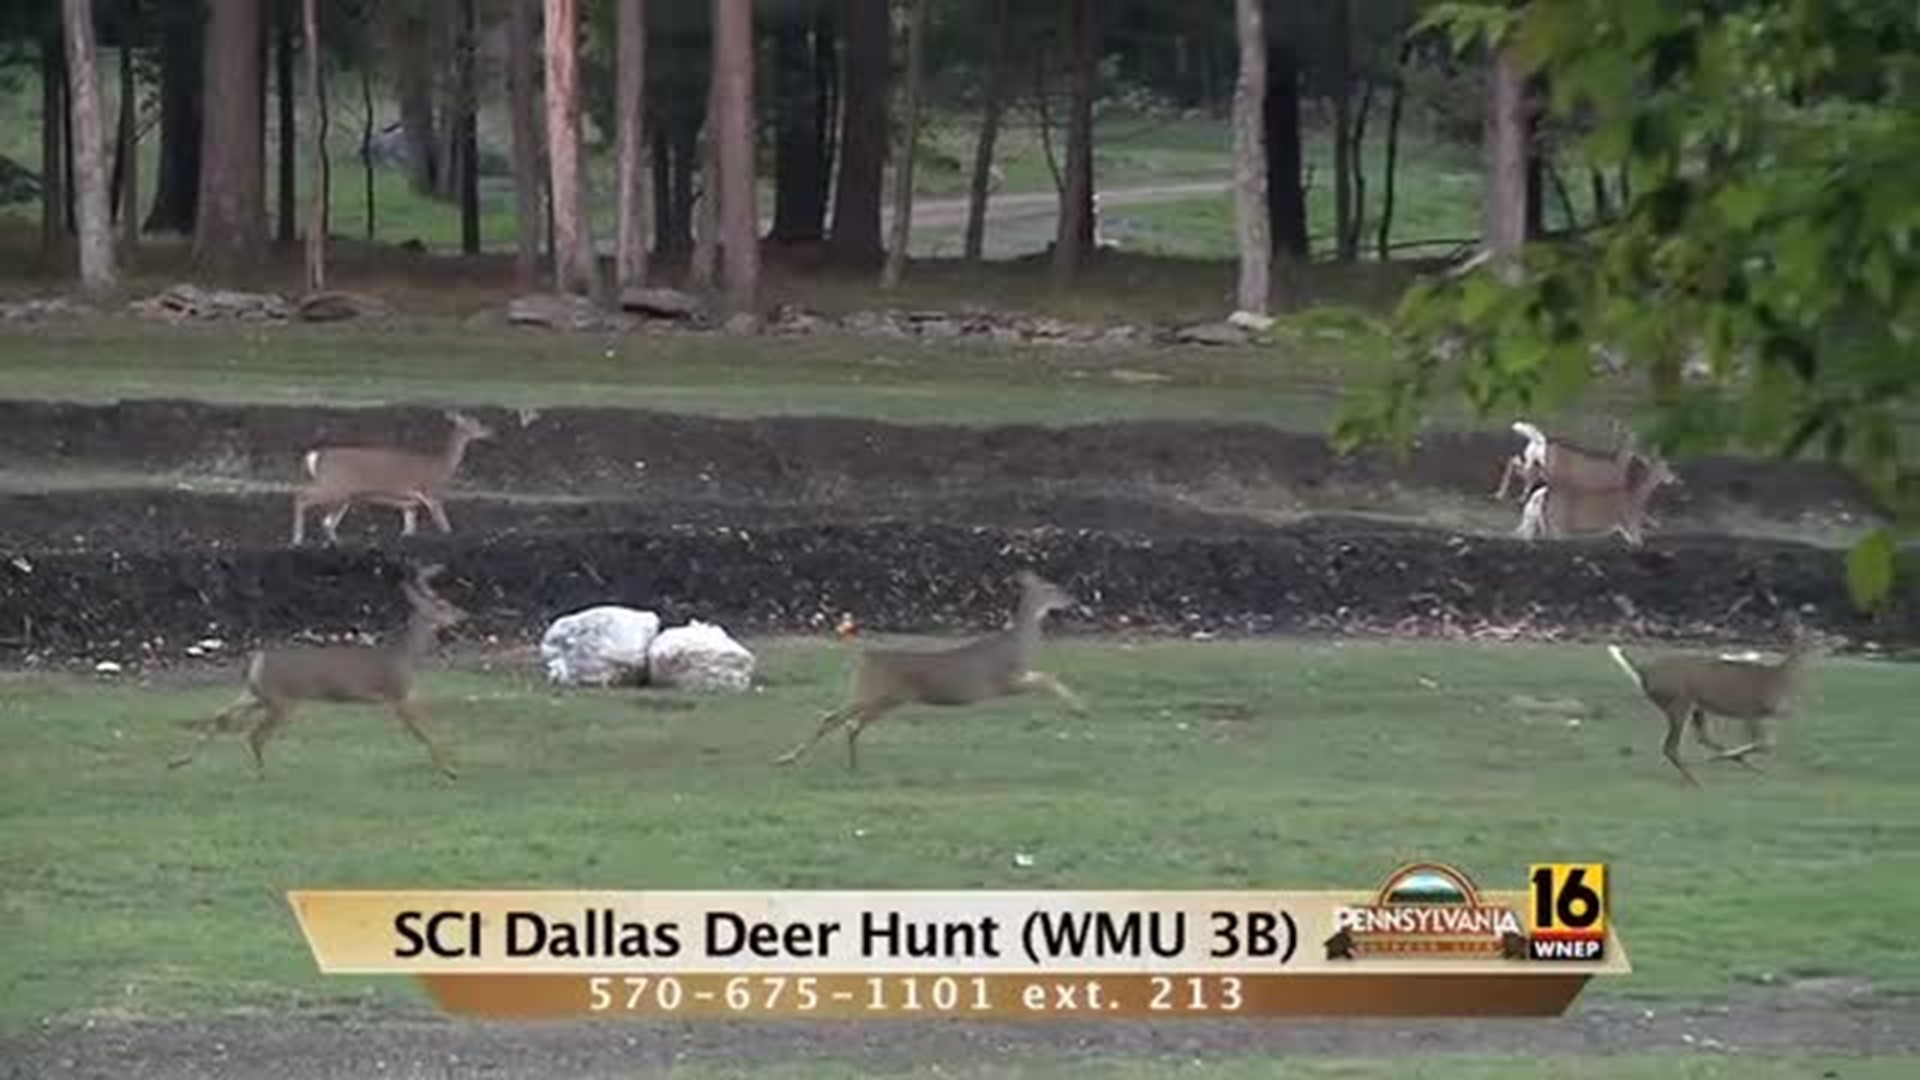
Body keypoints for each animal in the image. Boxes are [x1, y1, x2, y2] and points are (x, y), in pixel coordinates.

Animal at [168, 564, 467, 779]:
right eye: (442, 605)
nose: (463, 616)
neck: (406, 657)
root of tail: (259, 659)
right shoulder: (398, 693)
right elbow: (425, 730)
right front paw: (449, 770)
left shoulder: (406, 694)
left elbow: (429, 726)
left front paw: (449, 766)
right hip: (283, 699)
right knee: (253, 733)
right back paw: (262, 775)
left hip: (256, 693)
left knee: (221, 717)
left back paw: (179, 762)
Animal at [292, 410, 493, 546]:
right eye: (475, 423)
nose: (490, 430)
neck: (443, 465)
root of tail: (314, 455)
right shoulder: (431, 491)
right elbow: (443, 524)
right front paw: (451, 537)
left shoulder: (410, 501)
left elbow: (409, 526)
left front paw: (406, 538)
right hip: (334, 485)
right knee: (302, 499)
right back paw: (297, 538)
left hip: (343, 492)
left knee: (327, 521)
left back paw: (336, 542)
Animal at [773, 571, 1085, 770]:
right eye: (1052, 588)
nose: (1073, 599)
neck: (1020, 645)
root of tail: (866, 656)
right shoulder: (1002, 681)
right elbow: (1046, 679)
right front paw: (1079, 708)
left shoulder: (1011, 680)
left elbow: (1046, 678)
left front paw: (1077, 707)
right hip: (880, 693)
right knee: (838, 719)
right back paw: (792, 759)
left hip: (879, 696)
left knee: (846, 721)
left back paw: (847, 764)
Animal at [1514, 455, 1679, 547]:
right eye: (1665, 468)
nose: (1674, 478)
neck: (1637, 497)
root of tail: (1543, 494)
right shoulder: (1630, 522)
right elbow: (1638, 542)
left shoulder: (1625, 527)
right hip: (1557, 524)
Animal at [1606, 628, 1836, 786]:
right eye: (1818, 637)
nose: (1836, 644)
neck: (1780, 680)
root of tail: (1643, 673)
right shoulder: (1750, 709)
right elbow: (1764, 743)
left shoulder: (1755, 714)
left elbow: (1766, 743)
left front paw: (1750, 764)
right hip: (1678, 701)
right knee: (1671, 746)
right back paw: (1697, 781)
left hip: (1695, 706)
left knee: (1701, 737)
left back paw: (1734, 763)